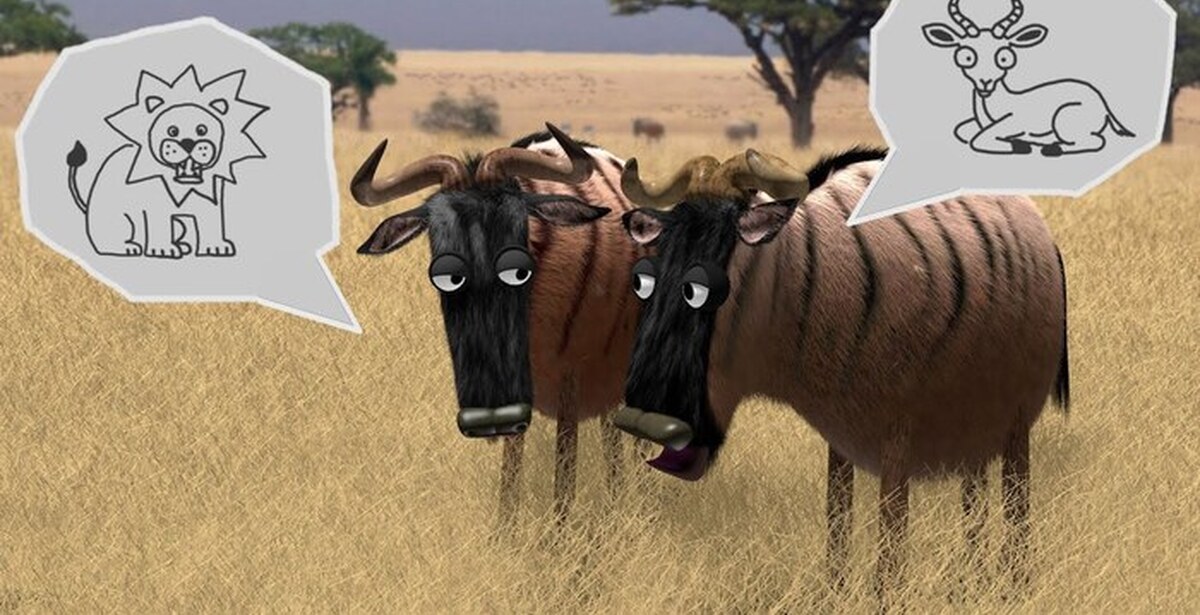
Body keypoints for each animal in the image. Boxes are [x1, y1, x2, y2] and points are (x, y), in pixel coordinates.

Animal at [353, 124, 644, 524]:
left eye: (515, 261)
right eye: (439, 247)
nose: (480, 420)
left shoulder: (572, 373)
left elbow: (565, 459)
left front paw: (560, 530)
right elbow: (513, 458)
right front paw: (505, 528)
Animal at [612, 148, 1069, 600]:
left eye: (700, 289)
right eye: (642, 281)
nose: (644, 423)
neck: (807, 283)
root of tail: (1045, 238)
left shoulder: (898, 438)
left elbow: (890, 542)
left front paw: (888, 599)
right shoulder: (841, 437)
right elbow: (837, 519)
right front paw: (835, 591)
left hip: (1015, 427)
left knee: (1016, 503)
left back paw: (1015, 588)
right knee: (974, 497)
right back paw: (970, 584)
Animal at [923, 0, 1134, 156]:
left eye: (1004, 58)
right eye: (966, 57)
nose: (985, 82)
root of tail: (1103, 104)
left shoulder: (1014, 123)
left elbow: (979, 139)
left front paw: (1020, 145)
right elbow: (965, 132)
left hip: (1063, 120)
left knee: (1095, 141)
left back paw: (1051, 147)